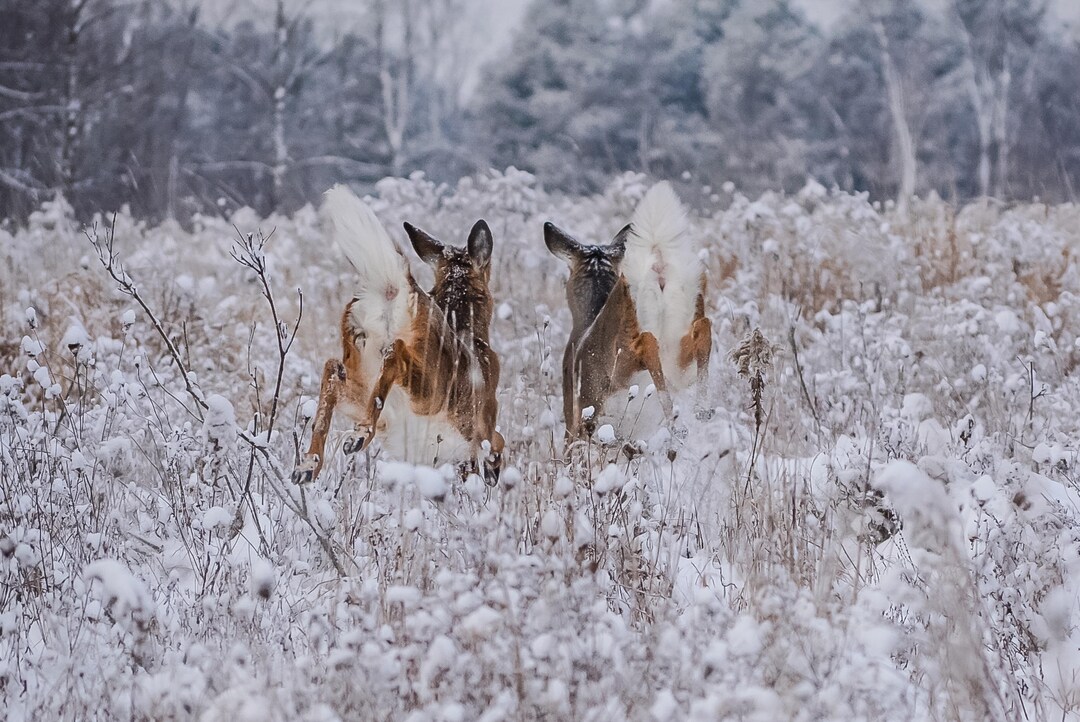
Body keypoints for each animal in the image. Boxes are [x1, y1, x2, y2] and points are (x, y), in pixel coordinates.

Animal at [293, 185, 503, 484]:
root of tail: (393, 288)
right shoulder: (482, 430)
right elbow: (497, 443)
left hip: (361, 374)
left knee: (332, 368)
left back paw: (308, 465)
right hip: (431, 390)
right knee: (395, 352)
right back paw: (358, 437)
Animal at [544, 181, 712, 440]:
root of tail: (657, 264)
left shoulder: (575, 421)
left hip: (623, 354)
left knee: (647, 344)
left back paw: (678, 422)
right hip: (682, 331)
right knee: (702, 328)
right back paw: (700, 410)